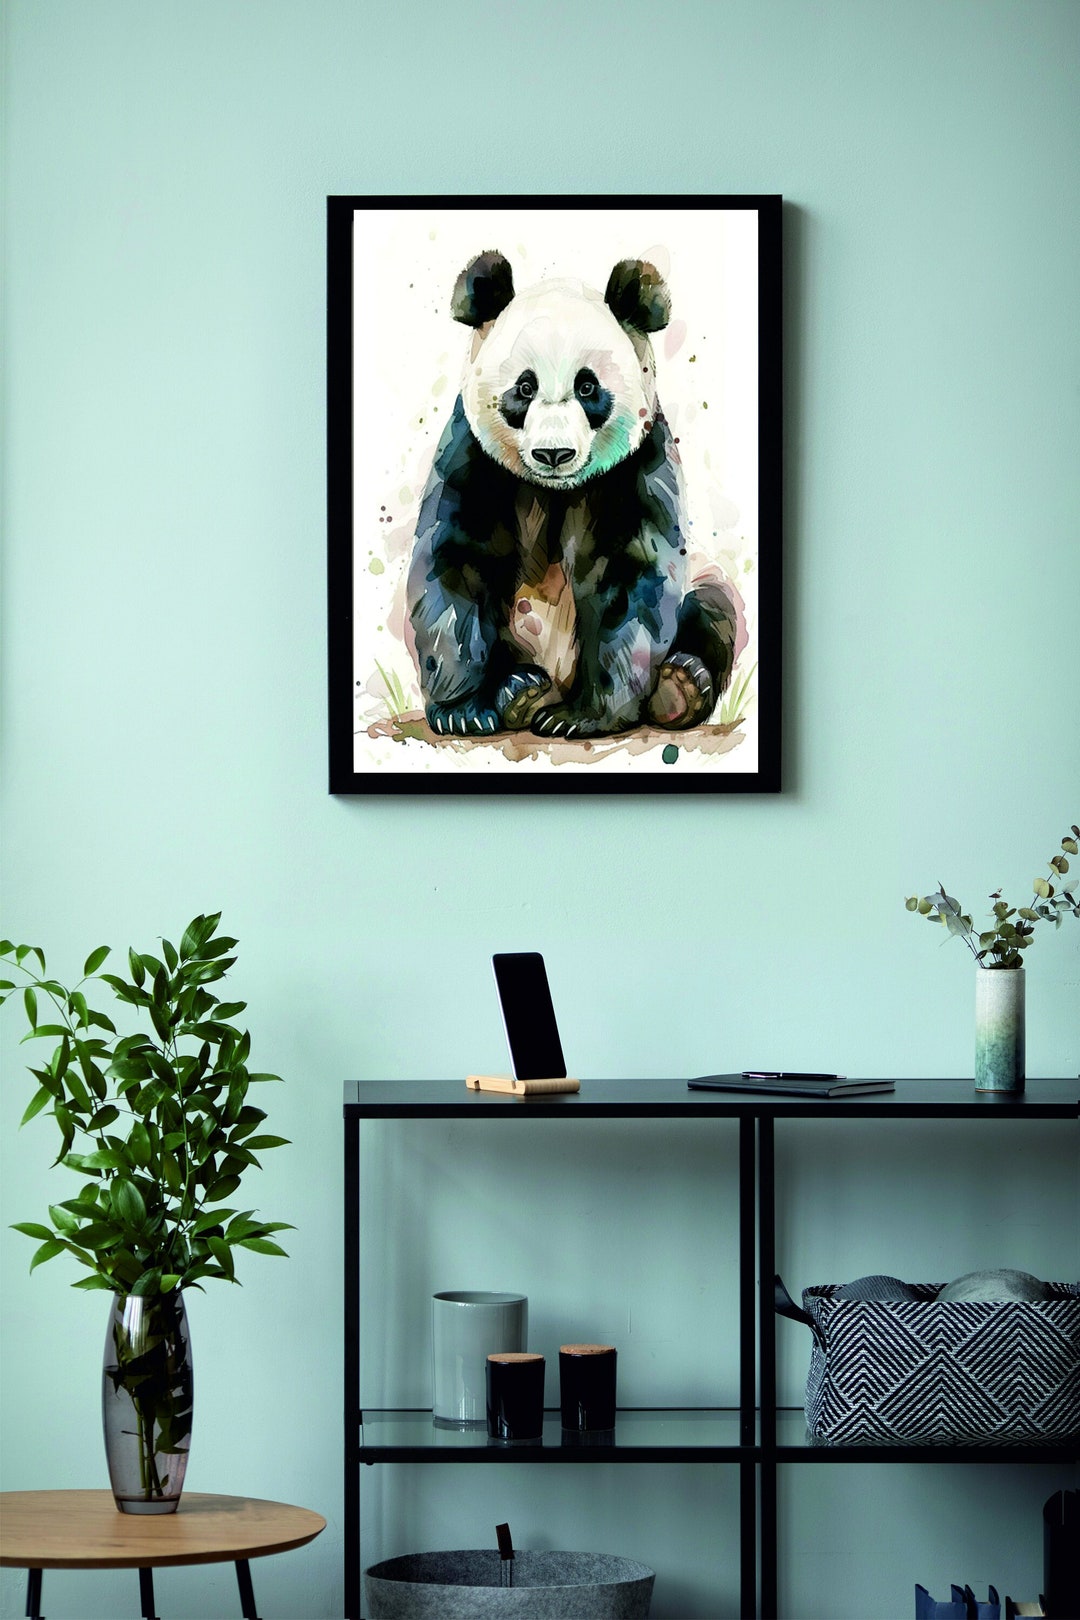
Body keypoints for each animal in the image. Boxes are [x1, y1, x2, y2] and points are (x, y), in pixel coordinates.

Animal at [407, 250, 737, 740]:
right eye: (525, 388)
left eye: (587, 387)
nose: (553, 453)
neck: (554, 489)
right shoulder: (472, 453)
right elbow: (456, 561)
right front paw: (463, 711)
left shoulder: (636, 462)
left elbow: (628, 574)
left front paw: (583, 718)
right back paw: (518, 691)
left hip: (701, 588)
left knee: (715, 604)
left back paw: (679, 688)